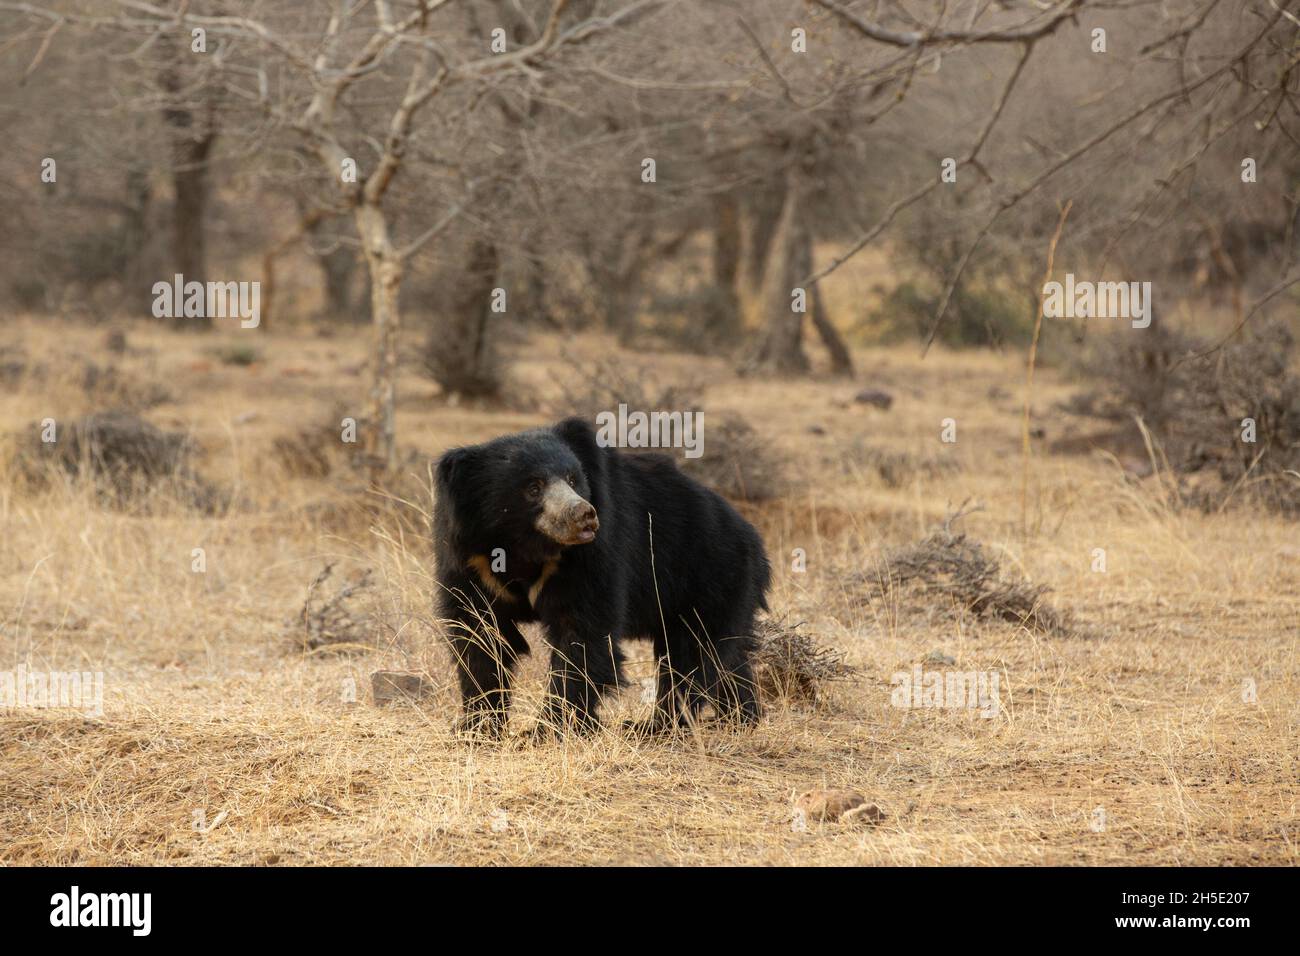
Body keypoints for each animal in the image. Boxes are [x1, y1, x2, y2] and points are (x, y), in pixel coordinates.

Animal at [433, 416, 771, 739]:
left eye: (573, 479)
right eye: (533, 487)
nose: (583, 515)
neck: (526, 548)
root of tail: (753, 538)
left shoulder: (592, 556)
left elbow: (582, 633)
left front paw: (549, 729)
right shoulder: (472, 563)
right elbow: (480, 634)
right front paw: (477, 727)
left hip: (710, 578)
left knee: (692, 654)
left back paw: (656, 726)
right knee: (726, 658)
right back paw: (739, 717)